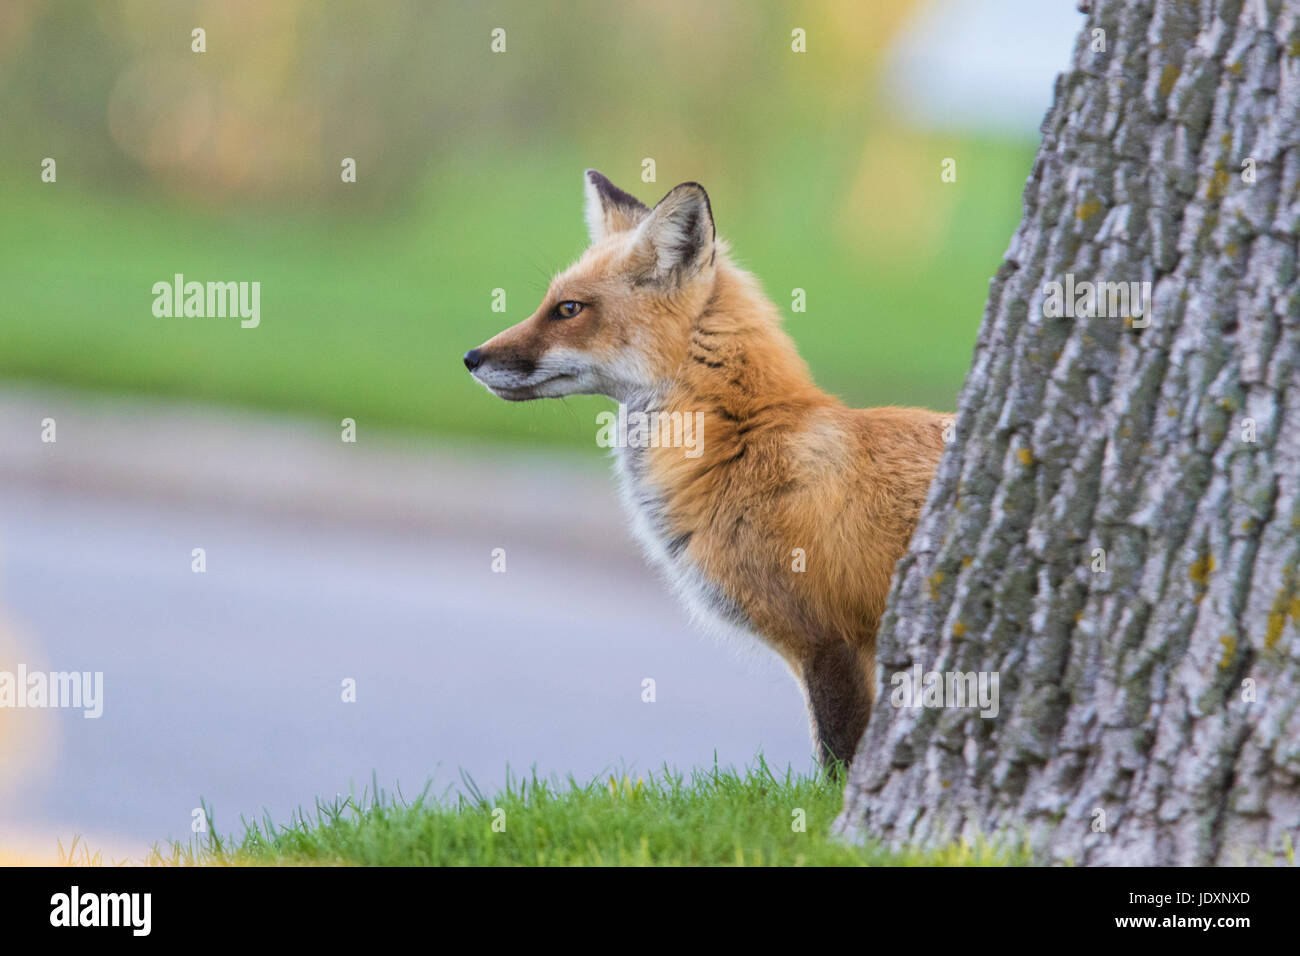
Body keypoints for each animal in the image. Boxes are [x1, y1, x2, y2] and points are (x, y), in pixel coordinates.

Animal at [464, 170, 948, 768]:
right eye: (549, 304)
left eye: (569, 309)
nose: (471, 358)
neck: (741, 441)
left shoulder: (831, 644)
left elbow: (836, 765)